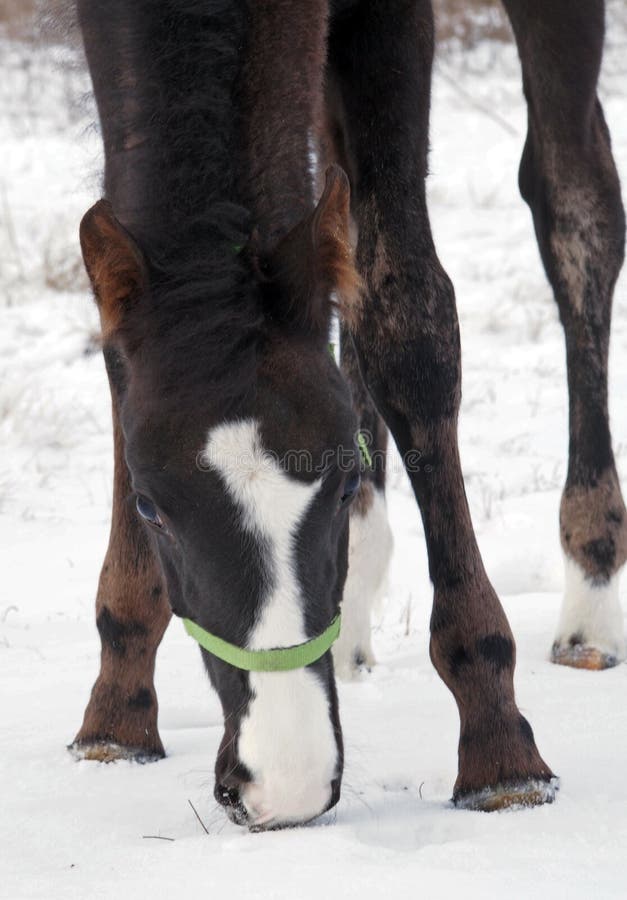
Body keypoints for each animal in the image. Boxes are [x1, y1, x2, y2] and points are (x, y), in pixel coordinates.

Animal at [70, 0, 625, 830]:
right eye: (148, 507)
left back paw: (589, 591)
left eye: (338, 485)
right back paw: (354, 611)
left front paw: (498, 746)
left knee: (575, 201)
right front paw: (116, 711)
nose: (284, 782)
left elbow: (408, 318)